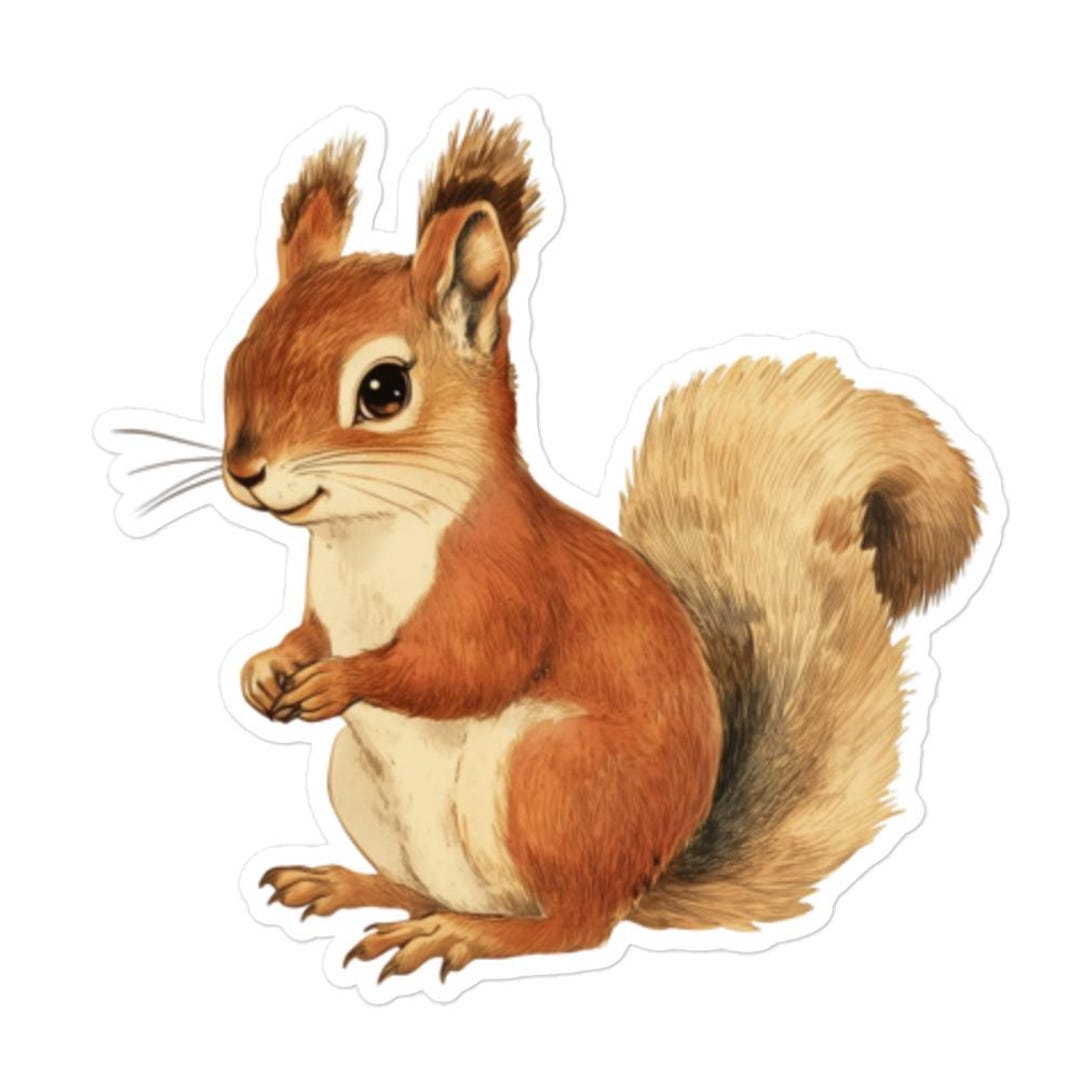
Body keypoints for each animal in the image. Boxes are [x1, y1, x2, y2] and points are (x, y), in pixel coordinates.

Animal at [220, 113, 982, 983]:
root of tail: (644, 877)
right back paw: (351, 885)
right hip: (367, 788)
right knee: (428, 891)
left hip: (553, 776)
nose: (244, 470)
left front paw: (340, 680)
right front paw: (267, 667)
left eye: (384, 391)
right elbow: (310, 632)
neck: (365, 536)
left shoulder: (508, 579)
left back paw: (466, 935)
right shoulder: (330, 605)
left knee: (572, 926)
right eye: (239, 355)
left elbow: (462, 668)